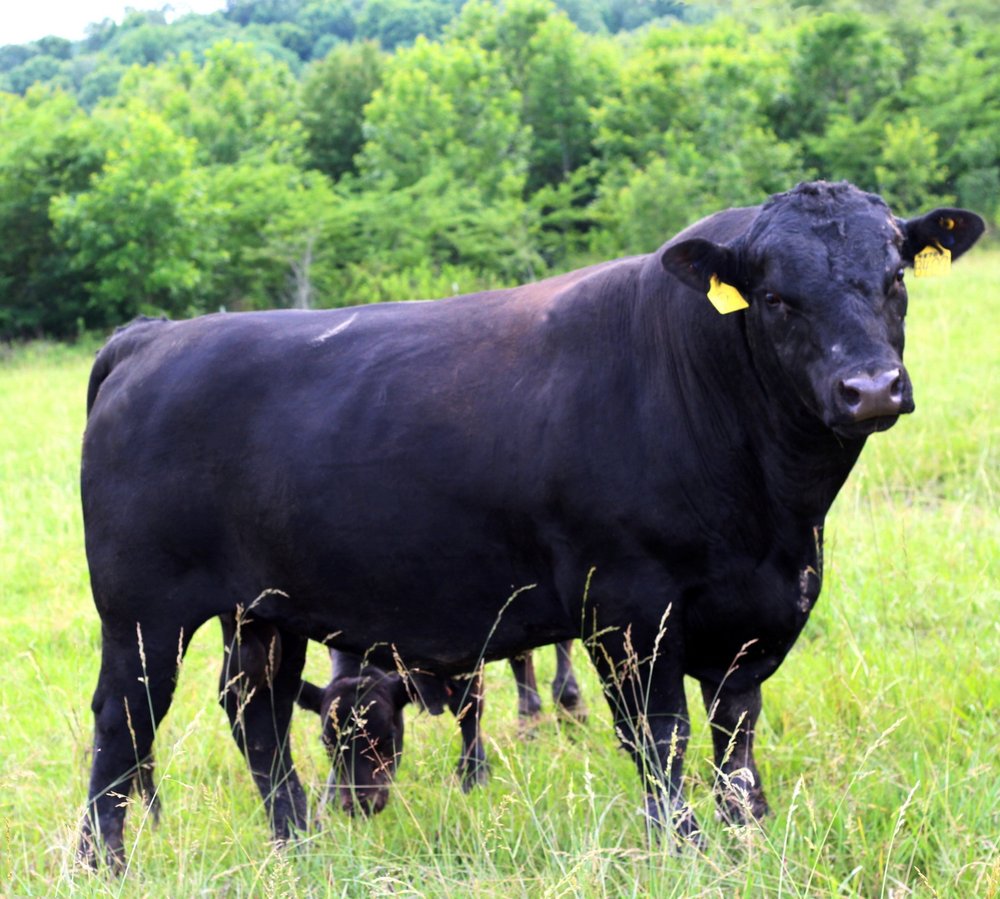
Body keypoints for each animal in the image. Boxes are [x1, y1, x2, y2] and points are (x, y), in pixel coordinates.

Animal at [78, 181, 984, 868]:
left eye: (895, 277)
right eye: (773, 297)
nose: (869, 387)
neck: (776, 517)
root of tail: (152, 337)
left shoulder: (755, 617)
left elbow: (736, 739)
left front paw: (748, 834)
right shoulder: (628, 609)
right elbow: (660, 737)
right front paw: (685, 849)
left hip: (263, 611)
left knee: (256, 713)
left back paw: (297, 845)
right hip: (142, 615)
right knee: (123, 722)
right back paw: (102, 862)